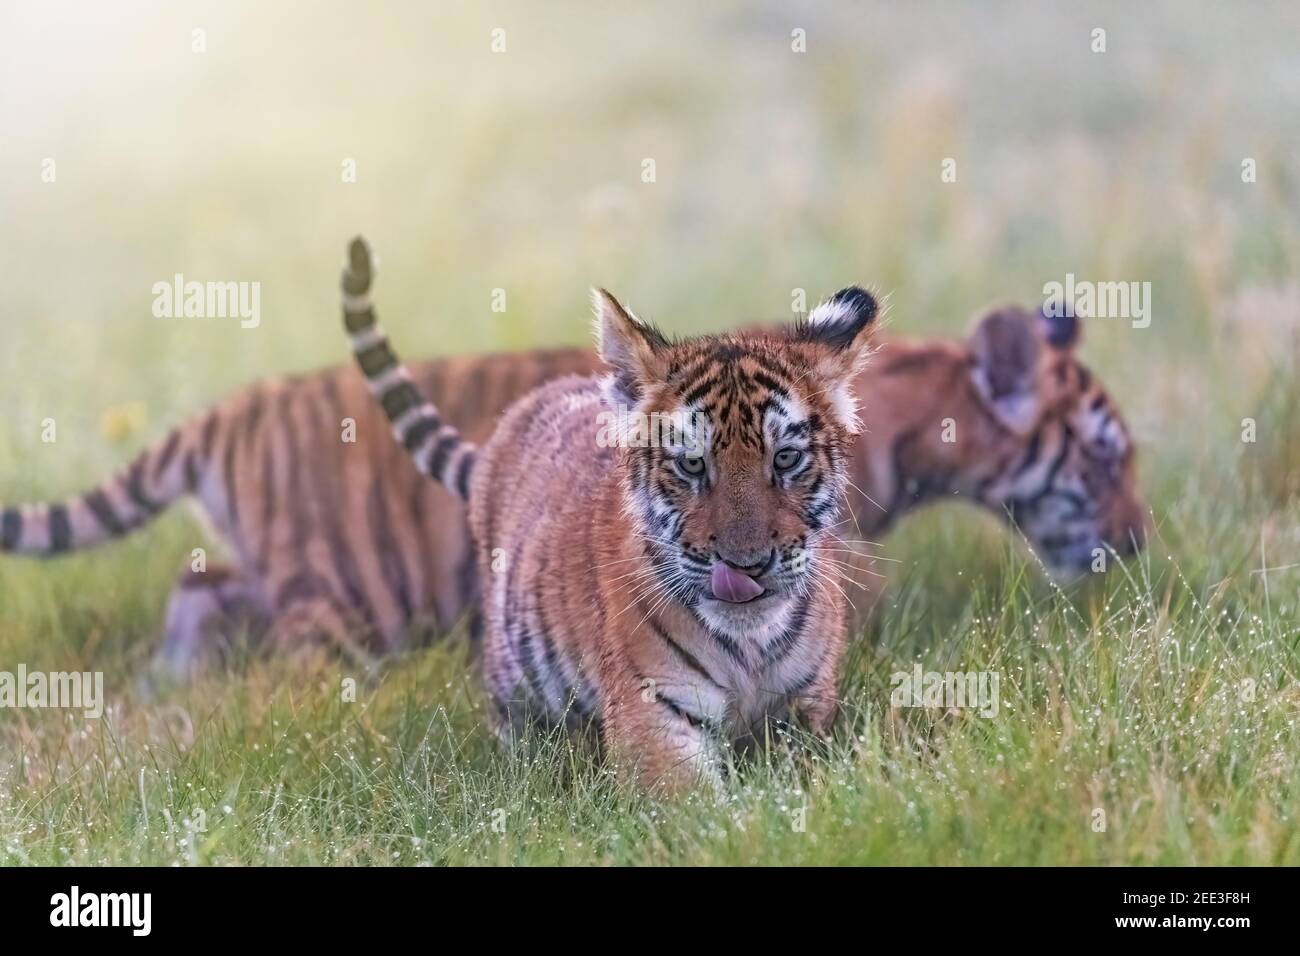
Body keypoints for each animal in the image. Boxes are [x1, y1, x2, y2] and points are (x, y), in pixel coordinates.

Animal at [0, 288, 1144, 679]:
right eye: (1100, 455)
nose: (1137, 542)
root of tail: (227, 409)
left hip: (280, 573)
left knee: (195, 589)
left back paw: (163, 690)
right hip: (345, 597)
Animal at [343, 236, 880, 789]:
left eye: (786, 458)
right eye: (692, 464)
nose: (746, 566)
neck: (749, 642)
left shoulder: (809, 711)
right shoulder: (653, 714)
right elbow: (698, 803)